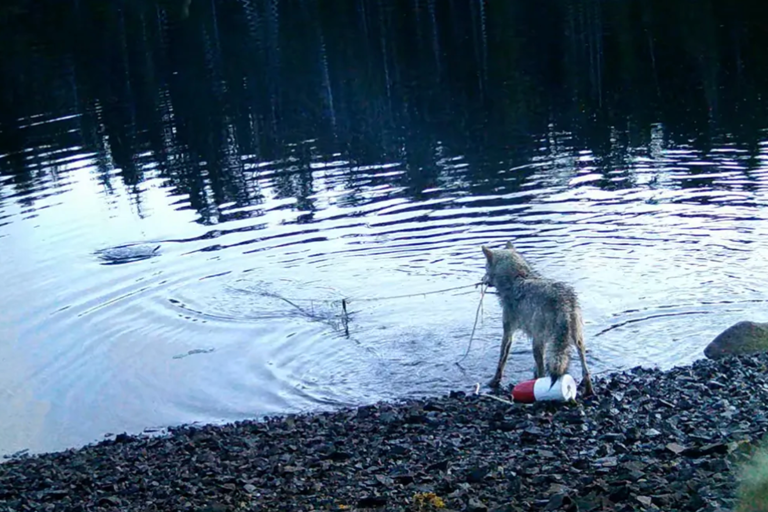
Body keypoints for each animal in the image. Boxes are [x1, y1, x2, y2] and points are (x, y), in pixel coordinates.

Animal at [481, 242, 594, 396]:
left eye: (485, 268)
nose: (481, 280)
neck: (518, 278)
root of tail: (564, 303)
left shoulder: (508, 333)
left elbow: (501, 360)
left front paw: (493, 382)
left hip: (537, 344)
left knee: (543, 373)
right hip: (577, 341)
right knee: (585, 370)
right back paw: (589, 391)